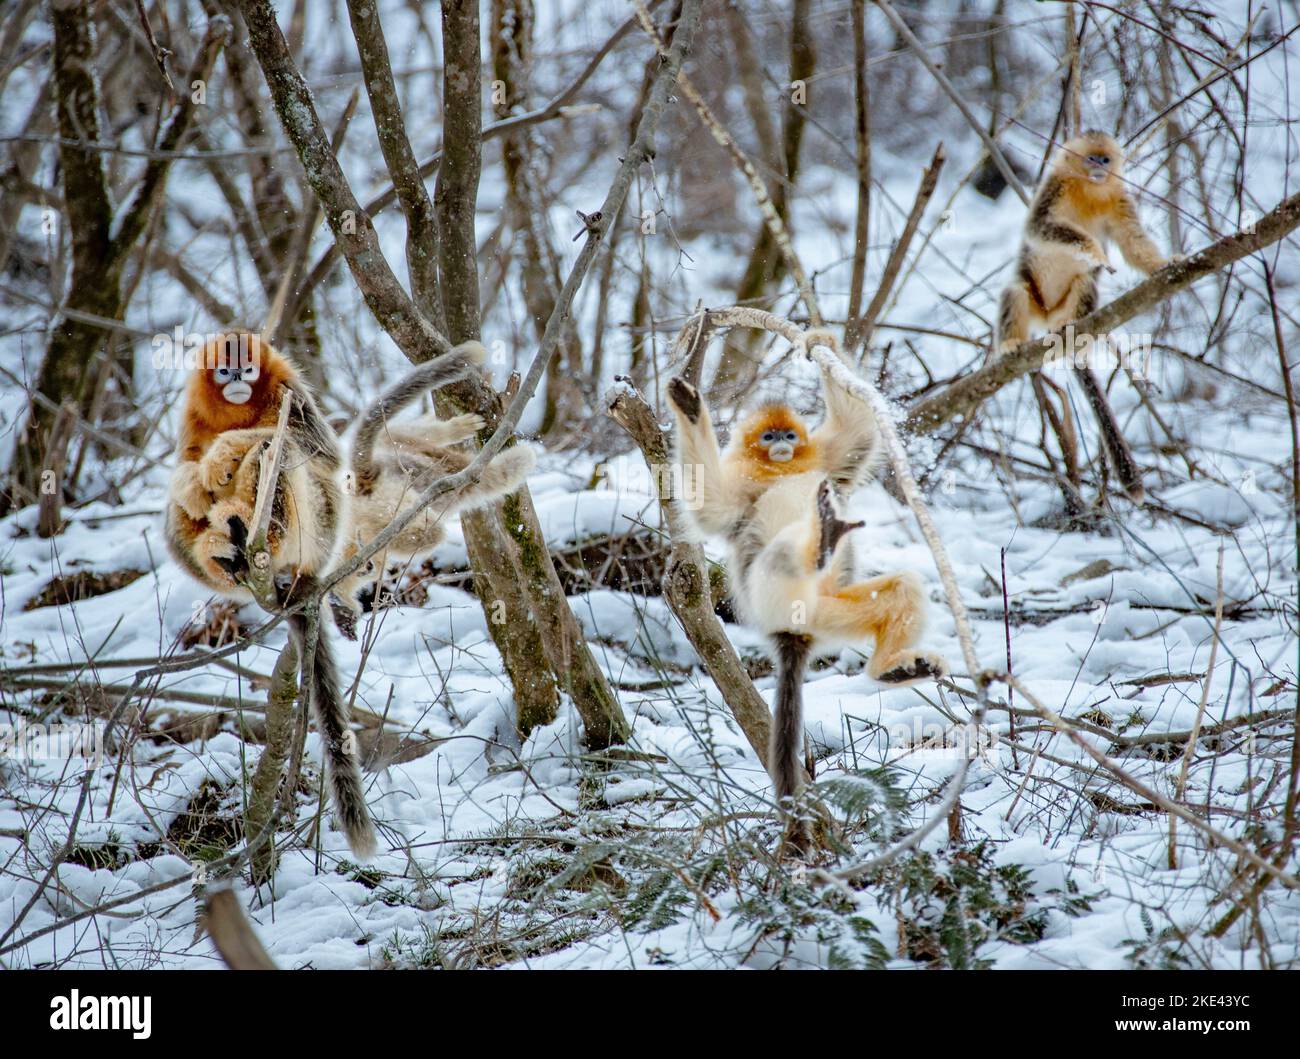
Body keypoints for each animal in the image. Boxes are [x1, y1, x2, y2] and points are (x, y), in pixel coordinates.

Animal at [329, 341, 538, 638]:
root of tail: (362, 479)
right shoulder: (466, 475)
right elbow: (500, 473)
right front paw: (524, 456)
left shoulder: (402, 438)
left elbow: (421, 431)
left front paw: (455, 426)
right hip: (398, 509)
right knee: (426, 534)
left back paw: (341, 602)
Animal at [665, 331, 946, 851]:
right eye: (769, 436)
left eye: (789, 436)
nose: (780, 446)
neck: (779, 472)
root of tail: (792, 632)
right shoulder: (740, 488)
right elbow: (711, 504)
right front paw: (690, 408)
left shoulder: (829, 461)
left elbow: (858, 434)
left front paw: (820, 340)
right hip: (772, 594)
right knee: (781, 552)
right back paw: (818, 544)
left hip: (830, 614)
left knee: (901, 587)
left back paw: (891, 667)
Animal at [997, 131, 1177, 502]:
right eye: (1091, 159)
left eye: (1105, 160)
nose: (1098, 169)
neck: (1088, 190)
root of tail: (1048, 315)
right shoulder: (1052, 188)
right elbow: (1040, 228)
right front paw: (1093, 250)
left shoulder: (1119, 198)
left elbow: (1132, 241)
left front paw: (1161, 265)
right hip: (1031, 295)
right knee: (1016, 291)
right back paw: (1010, 342)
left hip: (1072, 300)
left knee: (1085, 282)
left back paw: (1067, 326)